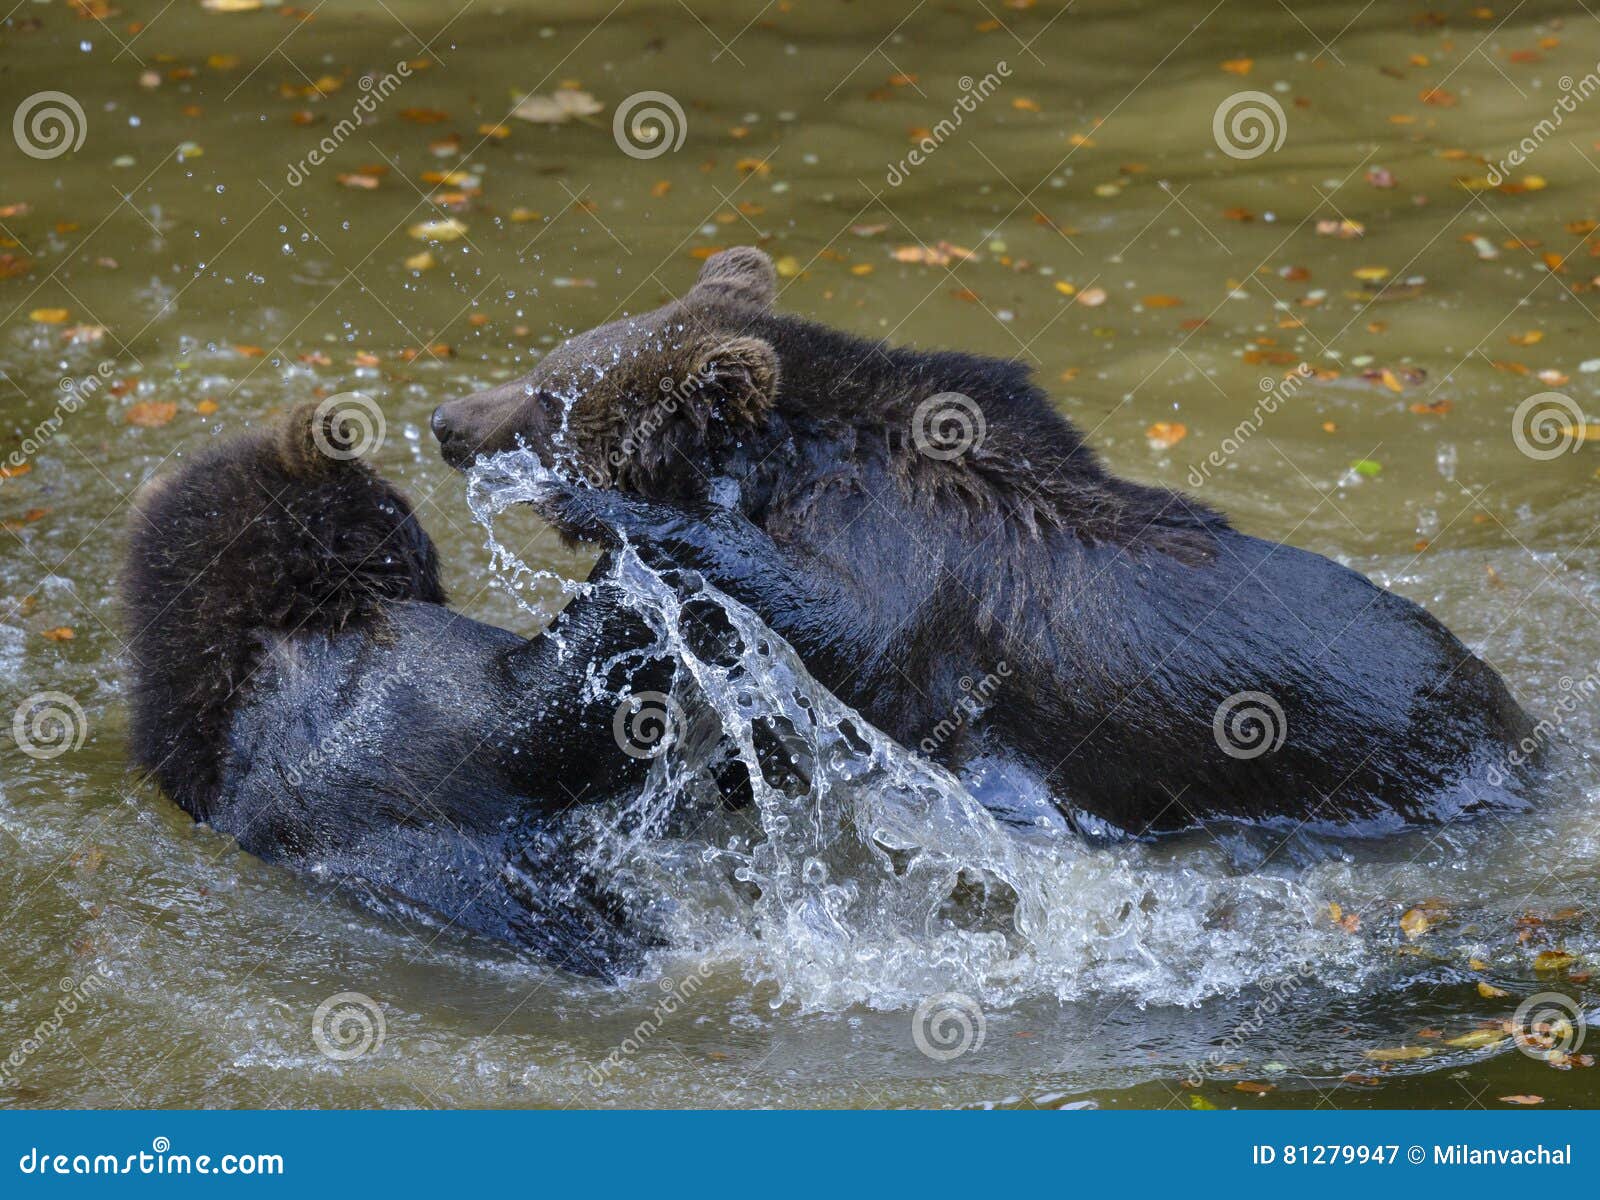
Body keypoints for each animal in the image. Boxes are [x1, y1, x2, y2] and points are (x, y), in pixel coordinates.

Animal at [430, 245, 1541, 837]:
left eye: (548, 394)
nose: (447, 419)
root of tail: (1521, 729)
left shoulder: (910, 570)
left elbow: (849, 625)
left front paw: (616, 519)